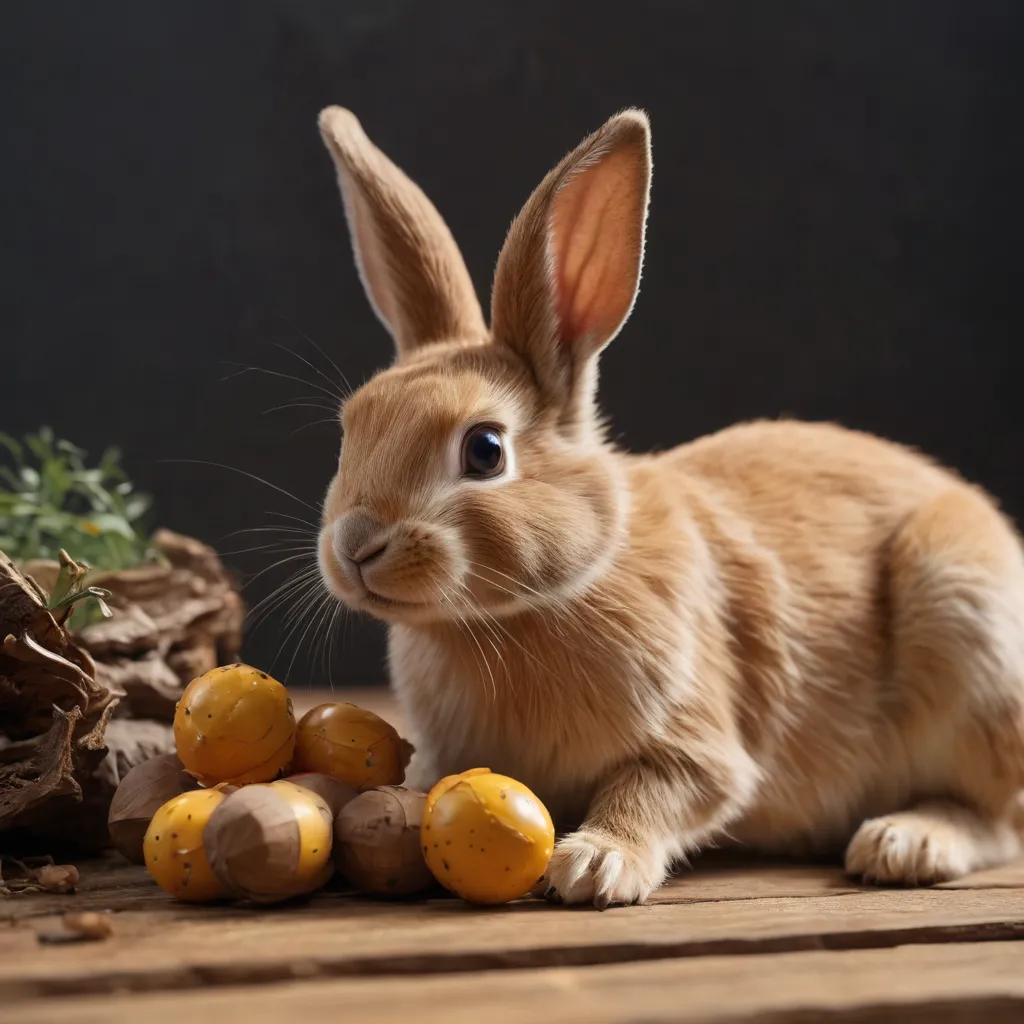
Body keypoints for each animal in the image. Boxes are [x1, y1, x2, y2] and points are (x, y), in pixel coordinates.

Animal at [314, 105, 1024, 908]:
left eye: (485, 450)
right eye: (352, 428)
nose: (355, 545)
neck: (523, 610)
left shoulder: (699, 742)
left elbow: (659, 786)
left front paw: (594, 865)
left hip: (968, 623)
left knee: (999, 817)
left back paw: (906, 841)